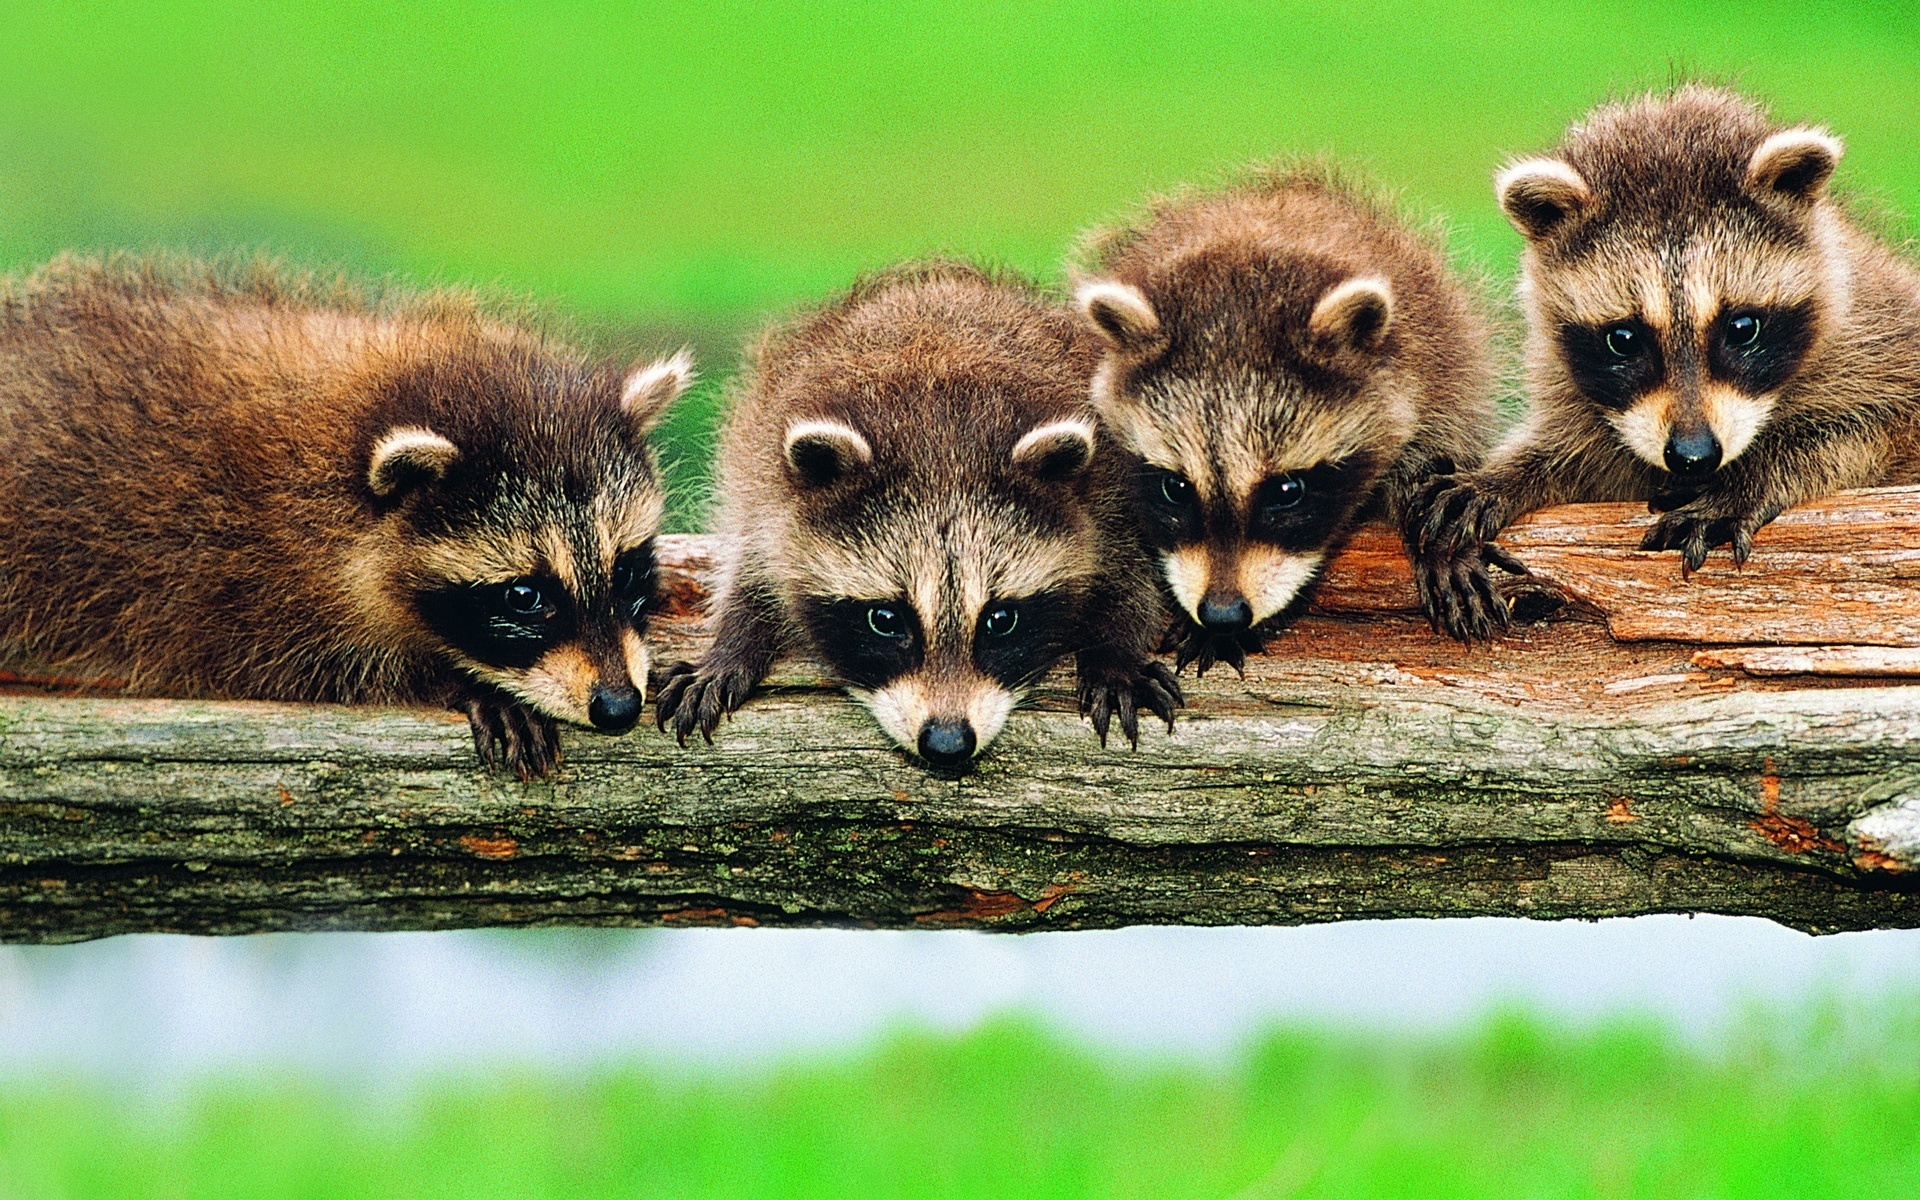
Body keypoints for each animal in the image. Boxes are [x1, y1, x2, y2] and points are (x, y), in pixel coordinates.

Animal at [0, 255, 692, 779]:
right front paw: (459, 681)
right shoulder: (239, 578)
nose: (617, 706)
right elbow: (314, 666)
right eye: (525, 595)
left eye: (627, 571)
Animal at [653, 261, 1180, 769]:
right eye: (886, 619)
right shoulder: (765, 488)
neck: (942, 440)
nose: (947, 743)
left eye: (1001, 620)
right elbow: (752, 567)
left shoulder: (1107, 492)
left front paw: (1115, 650)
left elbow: (1130, 574)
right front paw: (732, 643)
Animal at [1419, 85, 1920, 638]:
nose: (1694, 456)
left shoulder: (1882, 337)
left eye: (1742, 328)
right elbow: (1581, 455)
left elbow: (1873, 427)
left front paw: (1750, 476)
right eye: (1623, 339)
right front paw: (1504, 475)